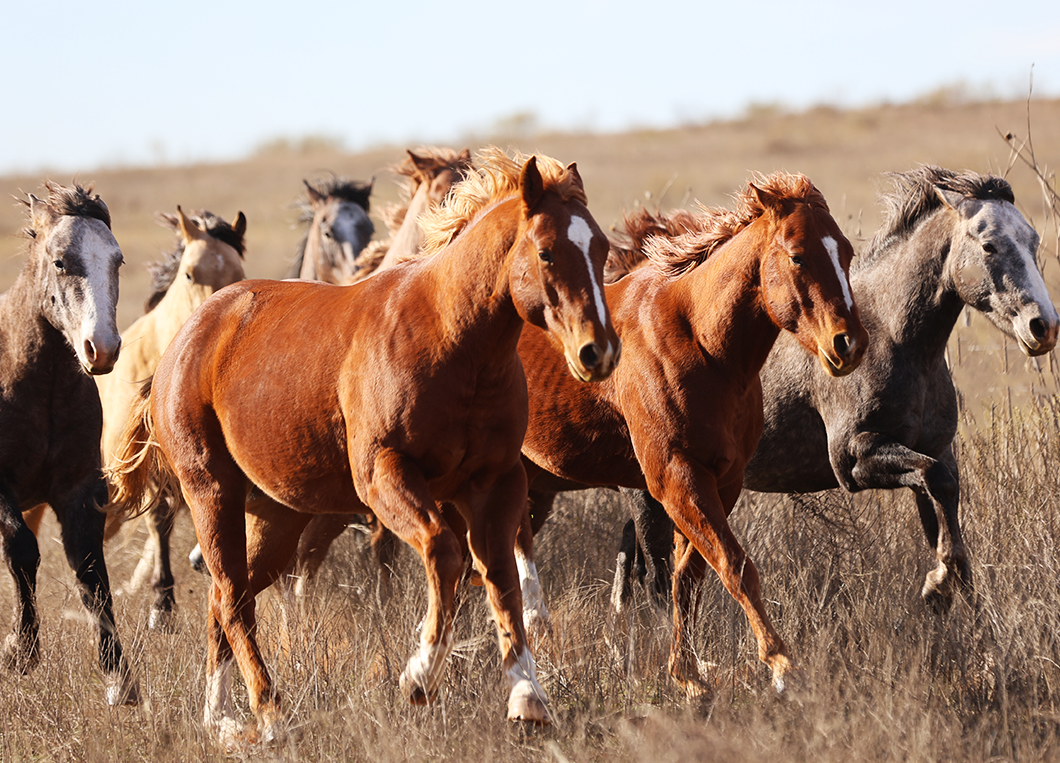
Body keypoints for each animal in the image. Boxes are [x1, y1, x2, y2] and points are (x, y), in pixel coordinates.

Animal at [0, 182, 138, 705]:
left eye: (117, 259)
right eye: (60, 261)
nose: (102, 348)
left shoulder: (79, 489)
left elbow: (91, 570)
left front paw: (119, 679)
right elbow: (22, 551)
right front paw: (20, 652)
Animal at [513, 173, 868, 696]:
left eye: (845, 251)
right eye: (798, 255)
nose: (850, 343)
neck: (699, 342)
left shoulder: (722, 480)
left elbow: (691, 576)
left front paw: (688, 673)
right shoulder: (675, 479)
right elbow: (732, 565)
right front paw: (782, 665)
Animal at [612, 166, 1060, 619]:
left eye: (1032, 240)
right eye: (989, 245)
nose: (1043, 326)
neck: (895, 339)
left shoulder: (935, 448)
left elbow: (943, 496)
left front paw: (953, 599)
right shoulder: (854, 456)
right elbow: (933, 478)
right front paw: (937, 585)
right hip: (656, 488)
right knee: (656, 573)